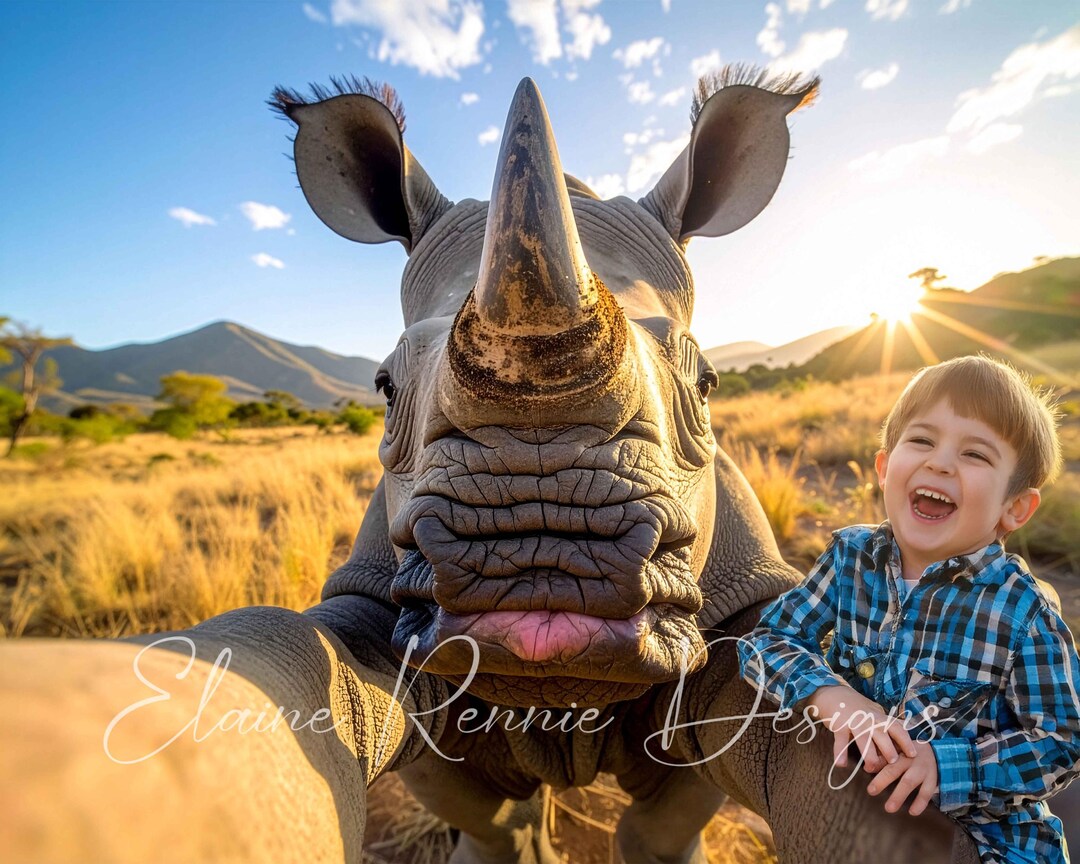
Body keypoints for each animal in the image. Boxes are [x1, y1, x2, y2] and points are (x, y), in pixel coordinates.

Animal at [1, 70, 996, 863]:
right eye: (382, 389)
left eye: (709, 384)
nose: (540, 567)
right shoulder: (375, 631)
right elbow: (475, 812)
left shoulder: (740, 624)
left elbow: (685, 814)